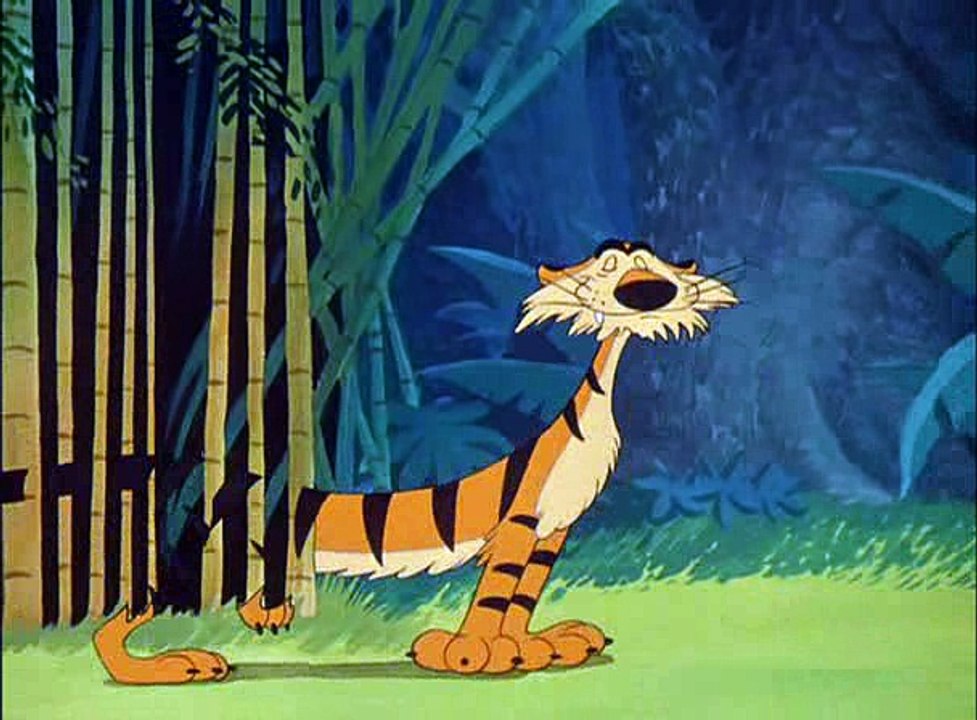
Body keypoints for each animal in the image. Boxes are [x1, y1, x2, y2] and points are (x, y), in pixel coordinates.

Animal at [93, 239, 738, 683]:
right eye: (608, 266)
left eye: (654, 264)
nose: (650, 290)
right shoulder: (521, 522)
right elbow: (497, 594)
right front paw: (472, 651)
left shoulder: (554, 529)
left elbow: (525, 596)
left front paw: (537, 643)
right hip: (187, 565)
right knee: (114, 625)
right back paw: (166, 666)